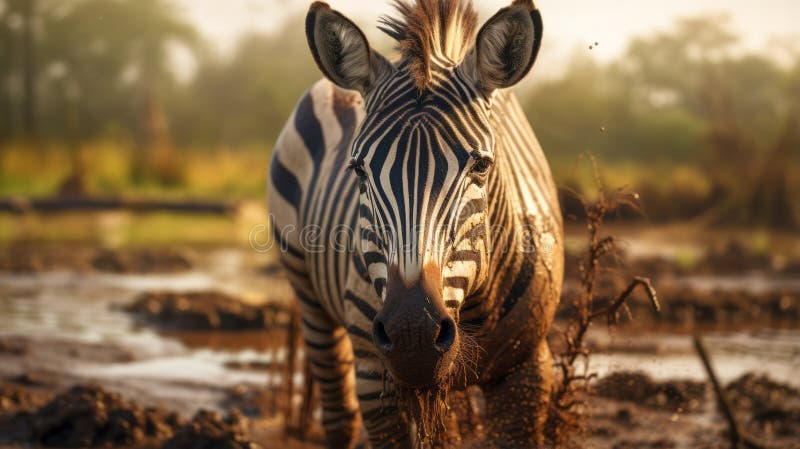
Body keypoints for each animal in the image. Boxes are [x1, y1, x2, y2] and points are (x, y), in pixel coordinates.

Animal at [268, 0, 563, 447]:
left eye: (481, 166)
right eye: (358, 170)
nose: (413, 335)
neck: (474, 310)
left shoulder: (526, 371)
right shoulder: (376, 379)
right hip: (307, 290)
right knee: (338, 413)